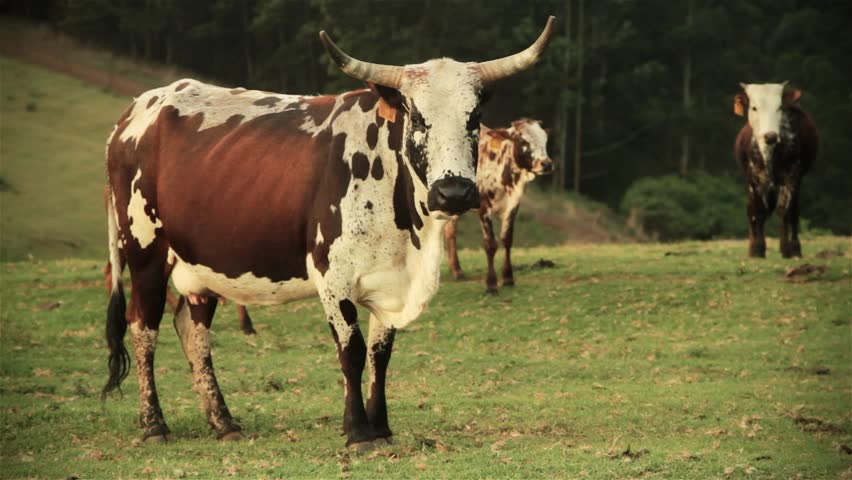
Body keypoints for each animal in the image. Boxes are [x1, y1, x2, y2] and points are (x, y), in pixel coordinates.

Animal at [443, 119, 552, 293]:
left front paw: (508, 278)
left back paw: (457, 271)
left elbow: (507, 239)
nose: (546, 164)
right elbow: (490, 244)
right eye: (523, 141)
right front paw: (491, 284)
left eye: (545, 140)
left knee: (449, 230)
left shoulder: (513, 206)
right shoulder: (483, 208)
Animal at [733, 82, 817, 258]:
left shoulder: (792, 176)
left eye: (779, 107)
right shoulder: (753, 177)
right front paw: (757, 250)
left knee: (793, 211)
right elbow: (756, 210)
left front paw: (788, 249)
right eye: (754, 107)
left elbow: (785, 209)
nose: (770, 136)